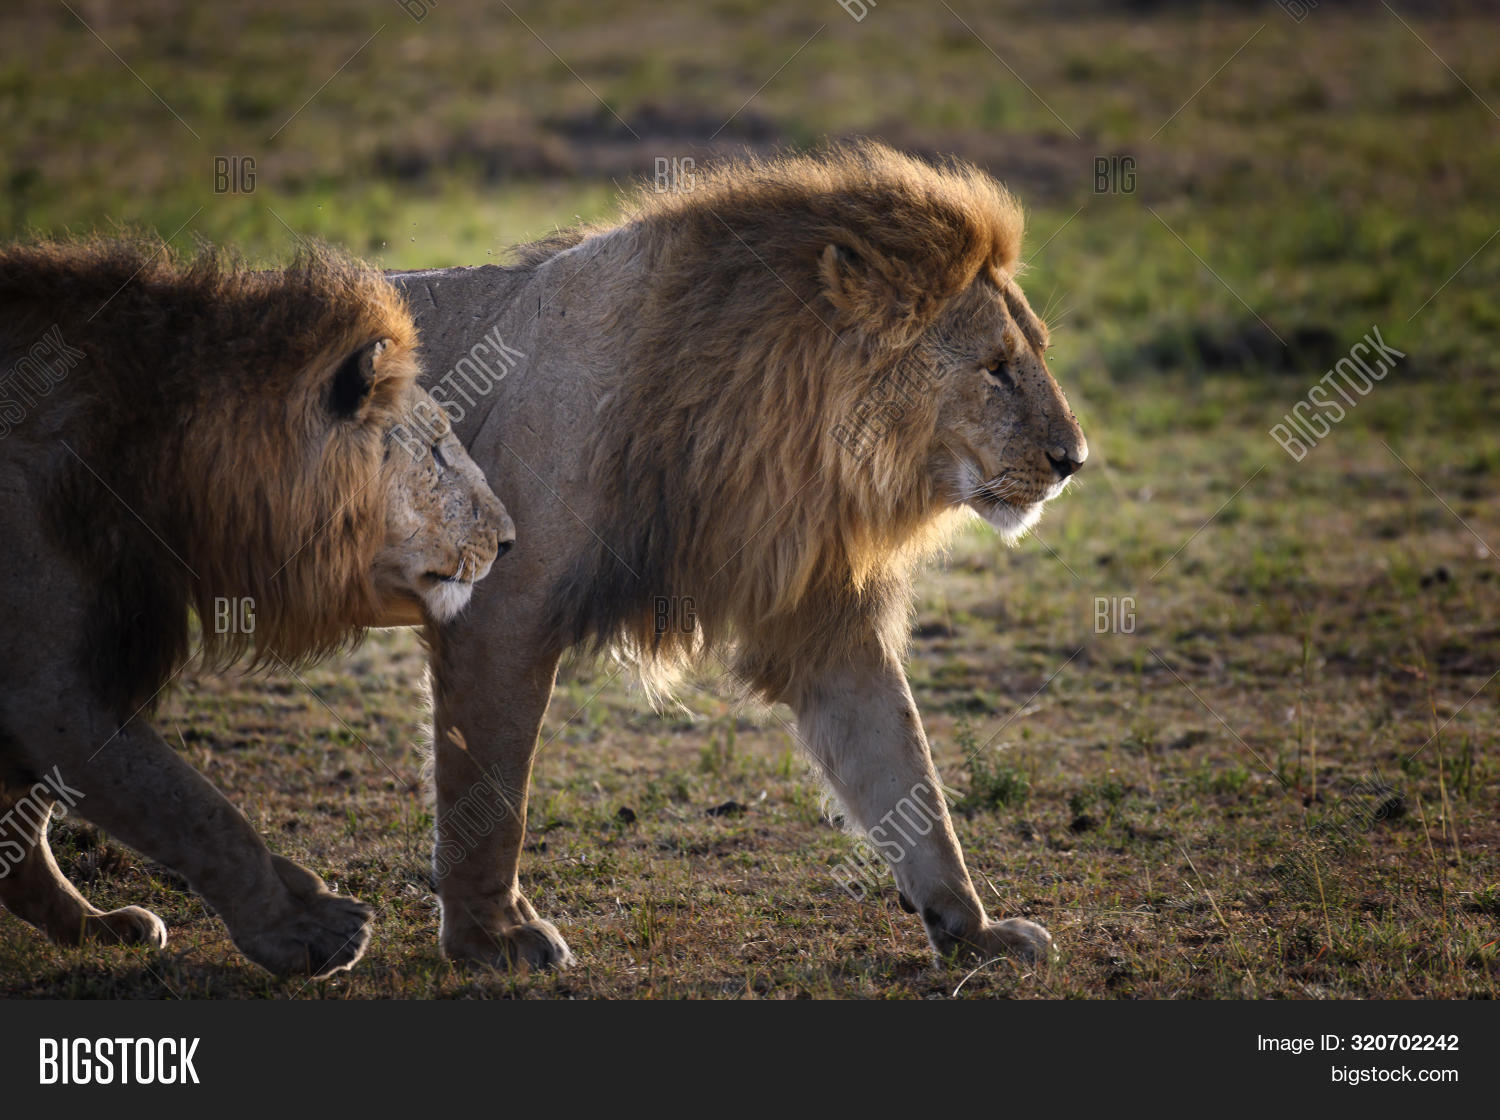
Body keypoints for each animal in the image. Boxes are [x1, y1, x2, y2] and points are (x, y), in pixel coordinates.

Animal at [0, 238, 514, 978]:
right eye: (439, 451)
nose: (509, 540)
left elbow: (31, 823)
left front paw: (93, 926)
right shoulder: (47, 684)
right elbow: (189, 806)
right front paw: (303, 929)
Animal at [392, 140, 1087, 970]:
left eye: (1036, 352)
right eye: (996, 367)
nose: (1076, 459)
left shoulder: (824, 625)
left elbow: (906, 773)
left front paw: (974, 930)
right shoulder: (497, 613)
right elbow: (490, 792)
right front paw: (491, 937)